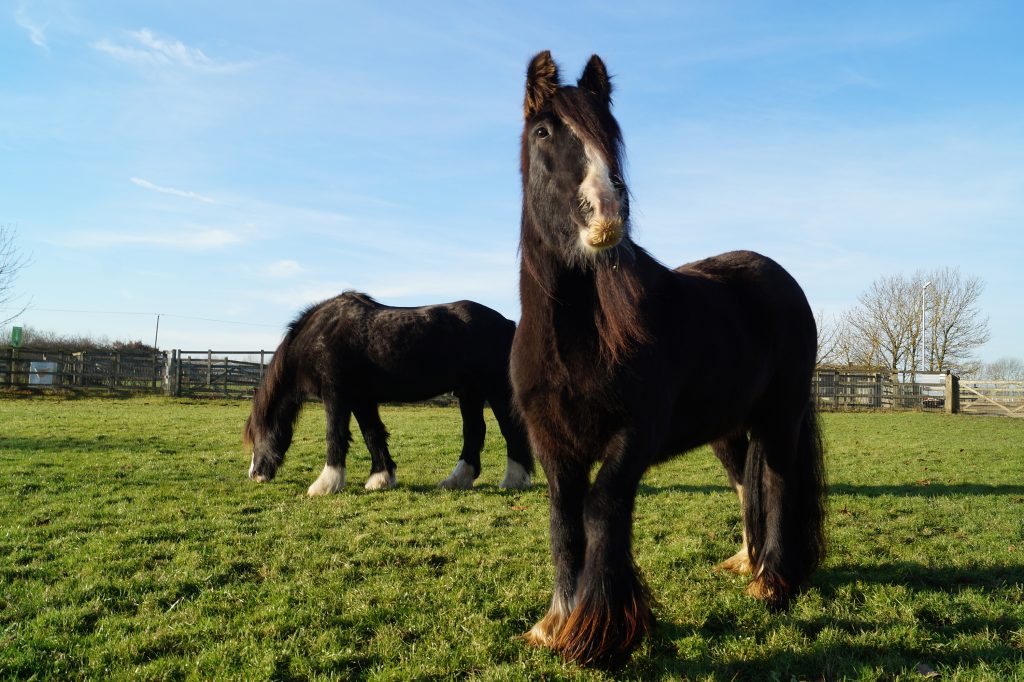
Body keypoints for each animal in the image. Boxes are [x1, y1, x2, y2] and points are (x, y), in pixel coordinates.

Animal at [244, 291, 534, 494]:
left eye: (258, 434)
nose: (254, 475)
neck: (319, 335)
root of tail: (508, 323)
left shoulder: (336, 395)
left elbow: (335, 435)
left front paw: (325, 485)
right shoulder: (361, 398)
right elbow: (372, 433)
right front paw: (381, 478)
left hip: (495, 389)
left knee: (510, 429)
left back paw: (514, 481)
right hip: (469, 391)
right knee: (474, 432)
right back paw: (456, 481)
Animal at [510, 52, 826, 667]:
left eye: (610, 134)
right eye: (543, 132)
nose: (607, 210)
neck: (576, 341)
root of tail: (779, 278)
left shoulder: (635, 435)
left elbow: (602, 508)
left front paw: (598, 631)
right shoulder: (552, 441)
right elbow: (564, 522)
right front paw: (554, 625)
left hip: (780, 419)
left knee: (777, 484)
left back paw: (771, 584)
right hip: (730, 429)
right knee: (744, 483)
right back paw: (746, 563)